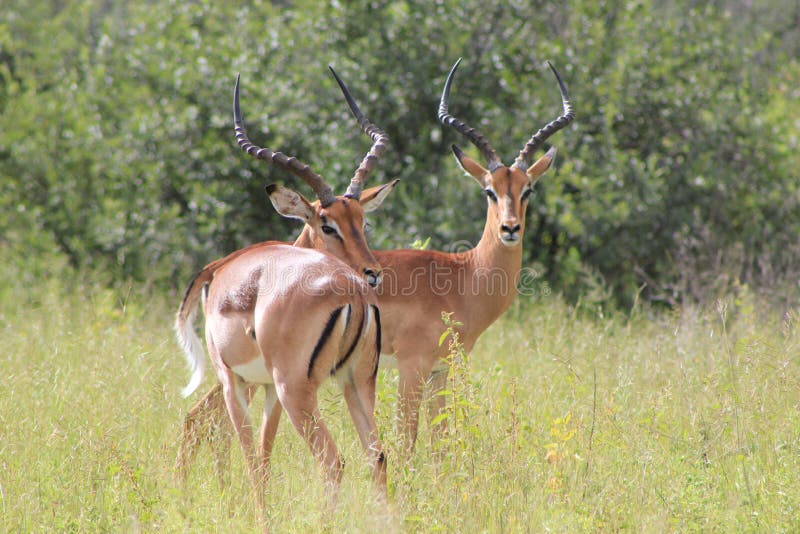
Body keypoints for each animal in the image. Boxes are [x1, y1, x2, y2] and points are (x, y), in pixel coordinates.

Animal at [175, 70, 396, 507]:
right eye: (328, 224)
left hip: (295, 389)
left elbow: (252, 463)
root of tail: (352, 293)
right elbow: (263, 459)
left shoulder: (235, 381)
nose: (373, 273)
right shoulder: (266, 390)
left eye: (362, 221)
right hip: (356, 382)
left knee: (332, 462)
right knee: (377, 458)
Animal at [178, 58, 574, 466]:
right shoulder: (413, 367)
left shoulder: (441, 370)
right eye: (489, 191)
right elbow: (407, 441)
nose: (510, 228)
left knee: (206, 422)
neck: (464, 276)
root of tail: (224, 266)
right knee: (200, 420)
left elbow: (441, 445)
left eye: (528, 190)